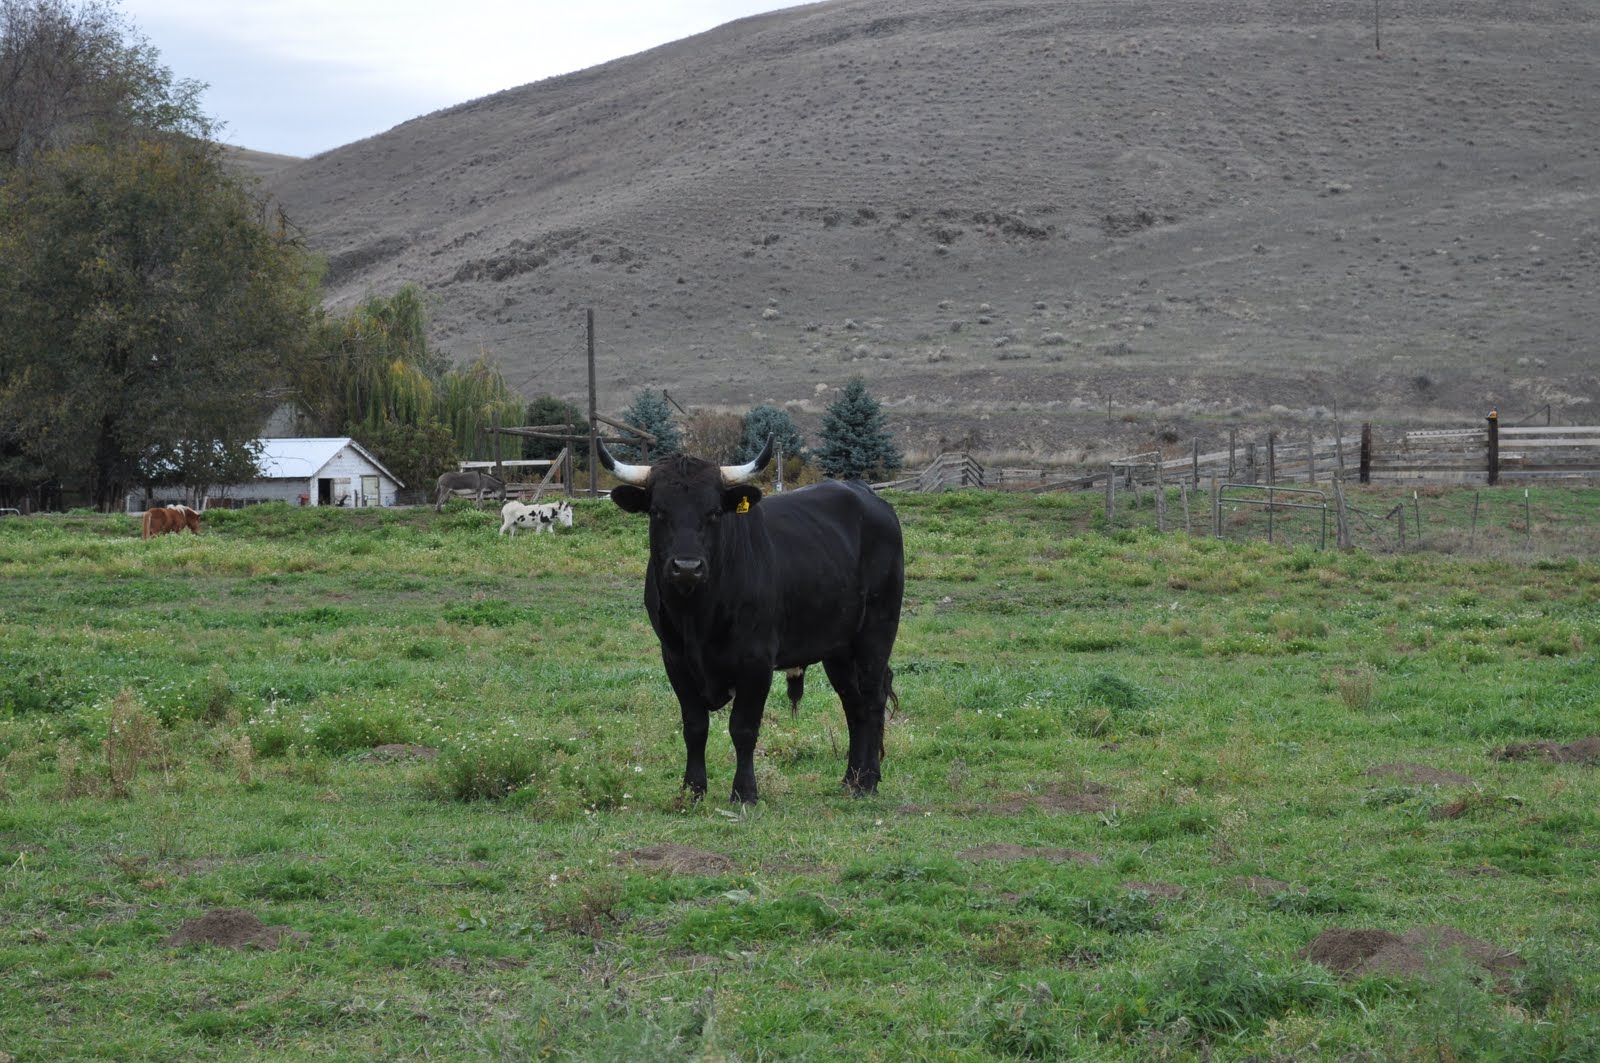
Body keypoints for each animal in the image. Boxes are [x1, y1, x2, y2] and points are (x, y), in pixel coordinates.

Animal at [600, 436, 904, 804]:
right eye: (658, 511)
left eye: (714, 512)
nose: (687, 567)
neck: (697, 617)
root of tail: (868, 497)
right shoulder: (674, 660)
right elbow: (694, 726)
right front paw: (693, 789)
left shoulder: (756, 661)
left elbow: (743, 728)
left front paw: (744, 792)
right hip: (838, 648)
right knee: (853, 703)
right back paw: (851, 778)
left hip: (877, 630)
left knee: (872, 699)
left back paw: (868, 781)